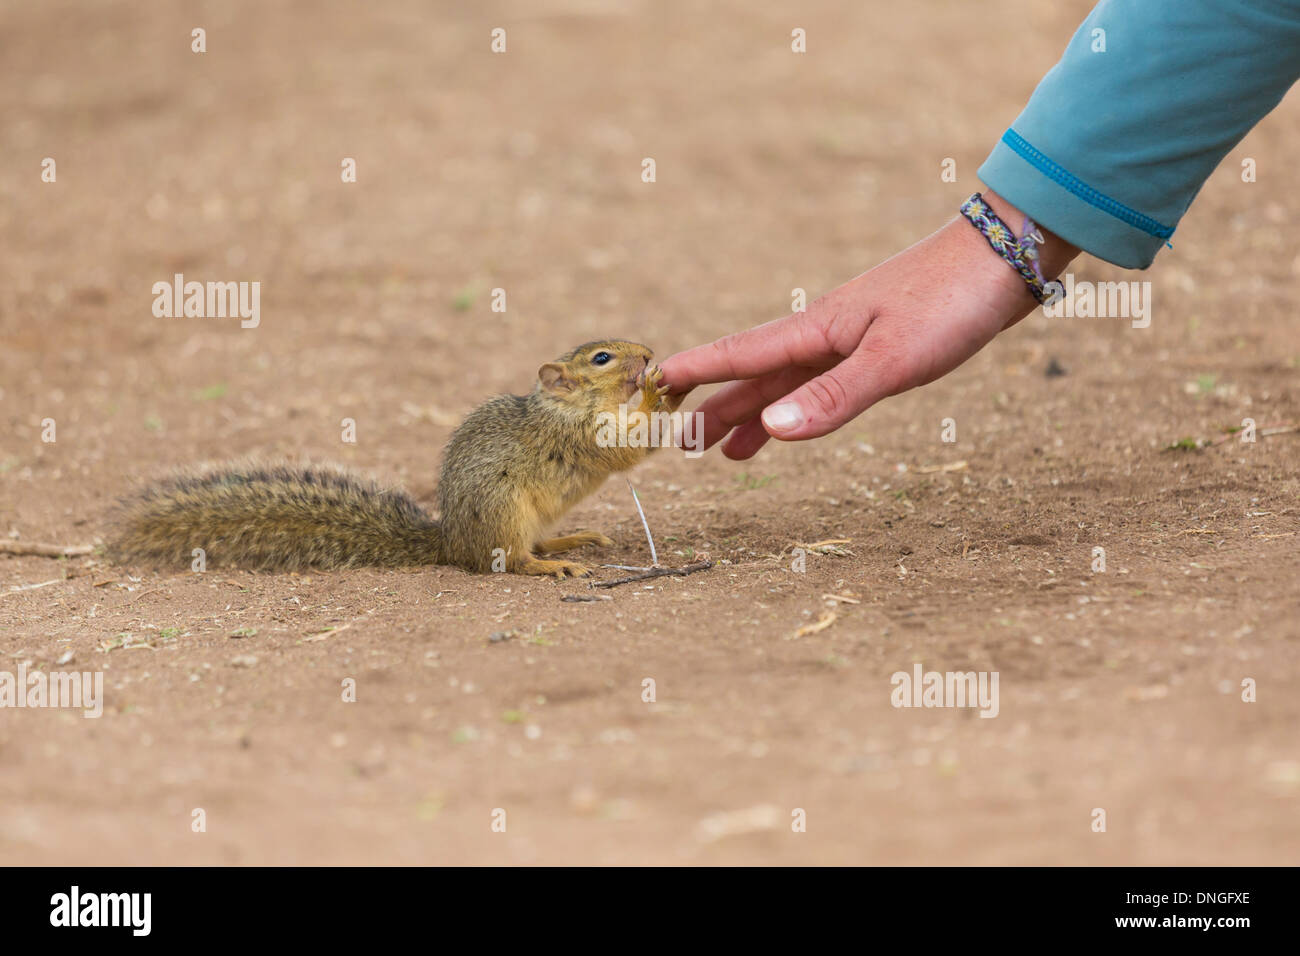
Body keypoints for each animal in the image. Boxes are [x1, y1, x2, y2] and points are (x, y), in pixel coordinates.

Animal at [107, 340, 685, 579]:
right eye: (602, 358)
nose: (648, 354)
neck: (569, 405)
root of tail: (449, 541)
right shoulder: (580, 435)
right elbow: (625, 449)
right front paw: (660, 395)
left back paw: (569, 541)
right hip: (504, 509)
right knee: (509, 560)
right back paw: (553, 564)